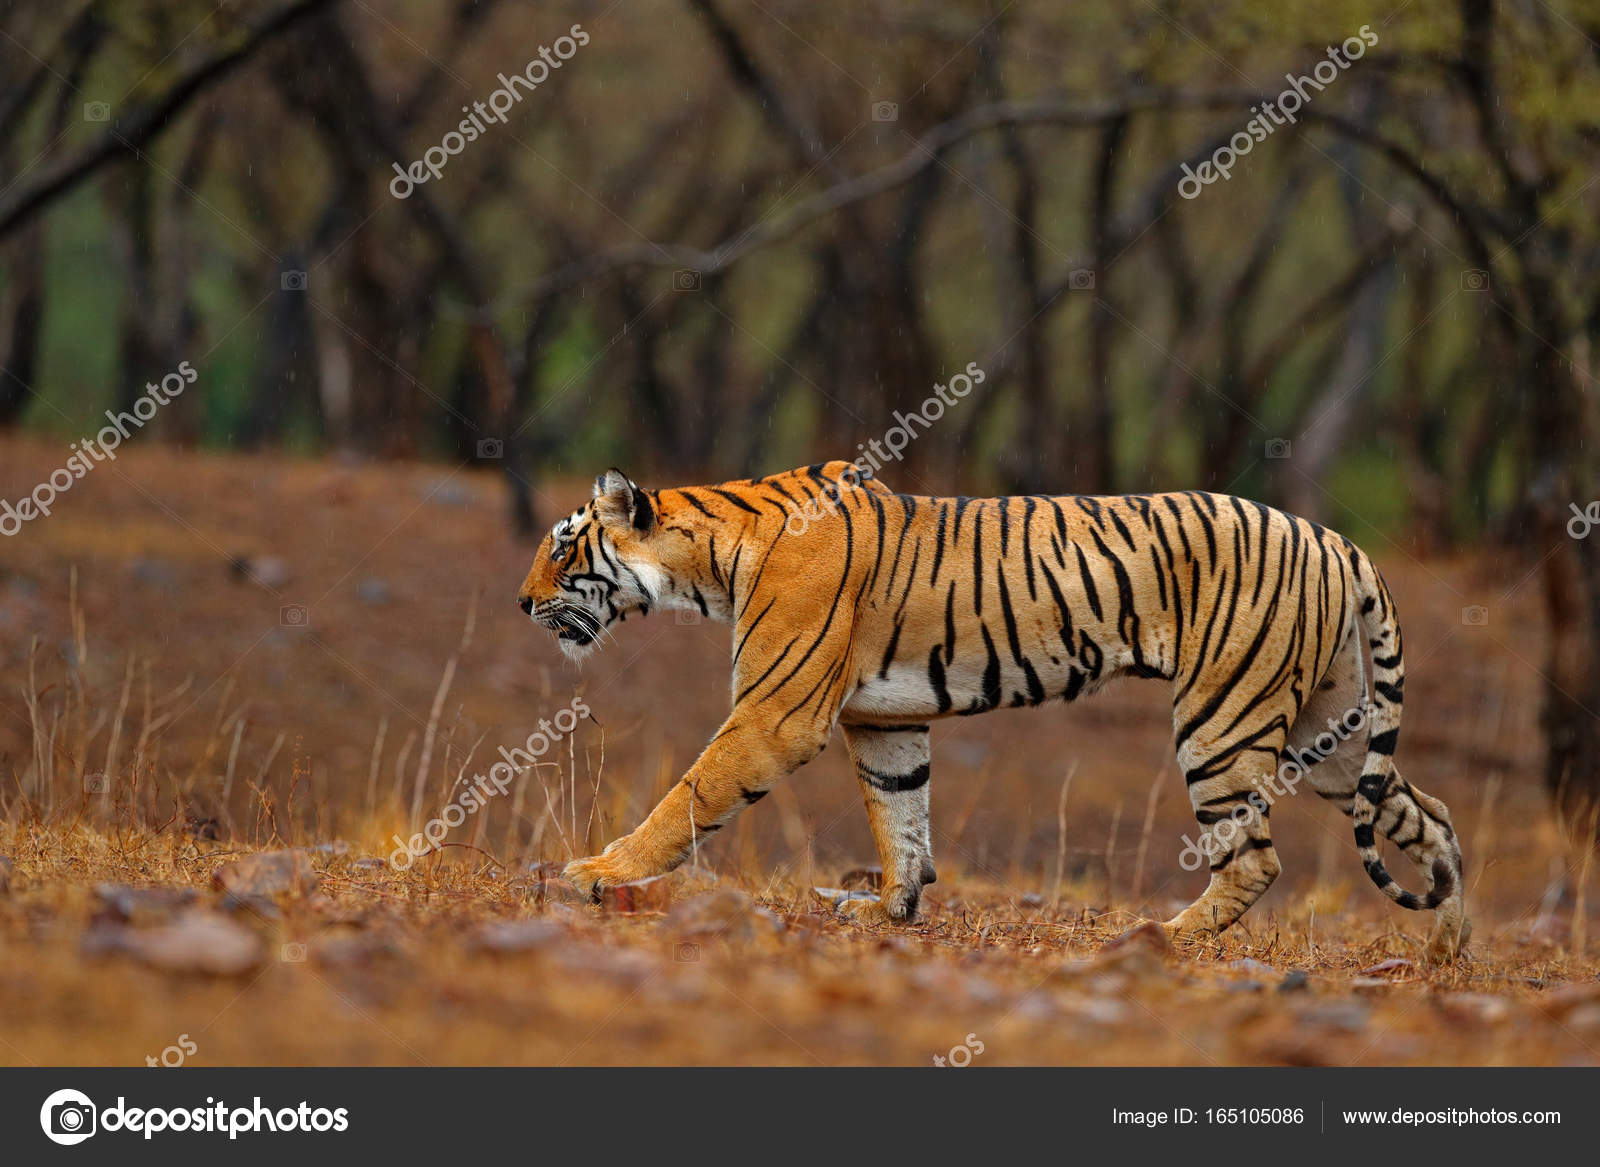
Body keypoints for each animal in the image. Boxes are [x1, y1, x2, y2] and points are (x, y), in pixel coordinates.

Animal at [516, 461, 1468, 961]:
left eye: (561, 549)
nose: (522, 604)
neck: (709, 558)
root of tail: (1337, 539)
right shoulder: (883, 719)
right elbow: (901, 819)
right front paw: (889, 912)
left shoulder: (775, 714)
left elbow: (688, 796)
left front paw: (599, 871)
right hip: (1328, 735)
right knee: (1434, 817)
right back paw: (1448, 947)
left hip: (1224, 719)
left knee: (1256, 858)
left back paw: (1159, 937)